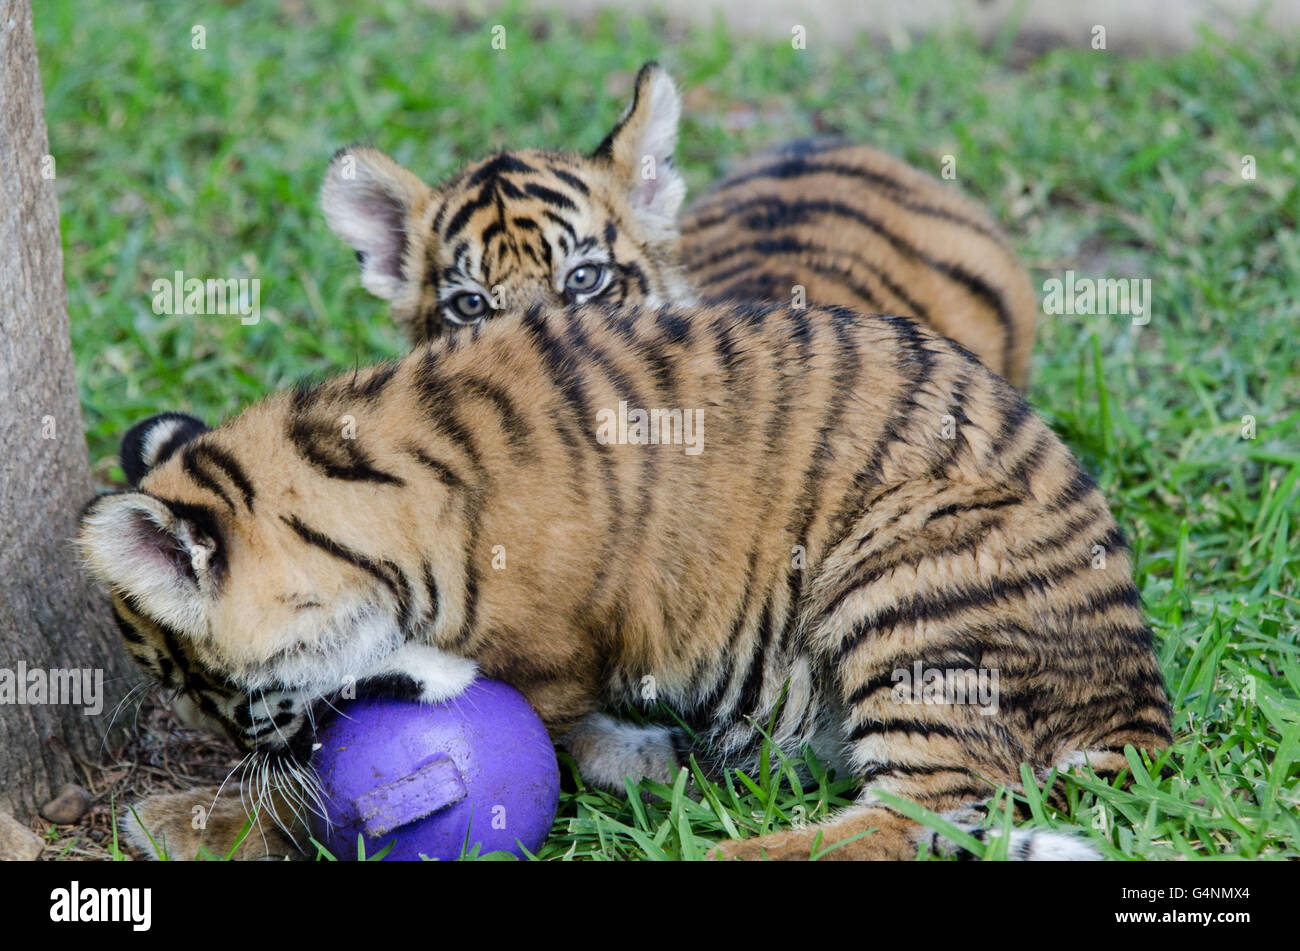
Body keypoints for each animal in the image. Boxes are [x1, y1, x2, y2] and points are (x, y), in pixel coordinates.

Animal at [78, 296, 1170, 861]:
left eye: (203, 692)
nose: (234, 750)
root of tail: (1140, 698)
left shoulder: (548, 656)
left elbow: (329, 788)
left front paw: (194, 817)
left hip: (906, 579)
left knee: (920, 809)